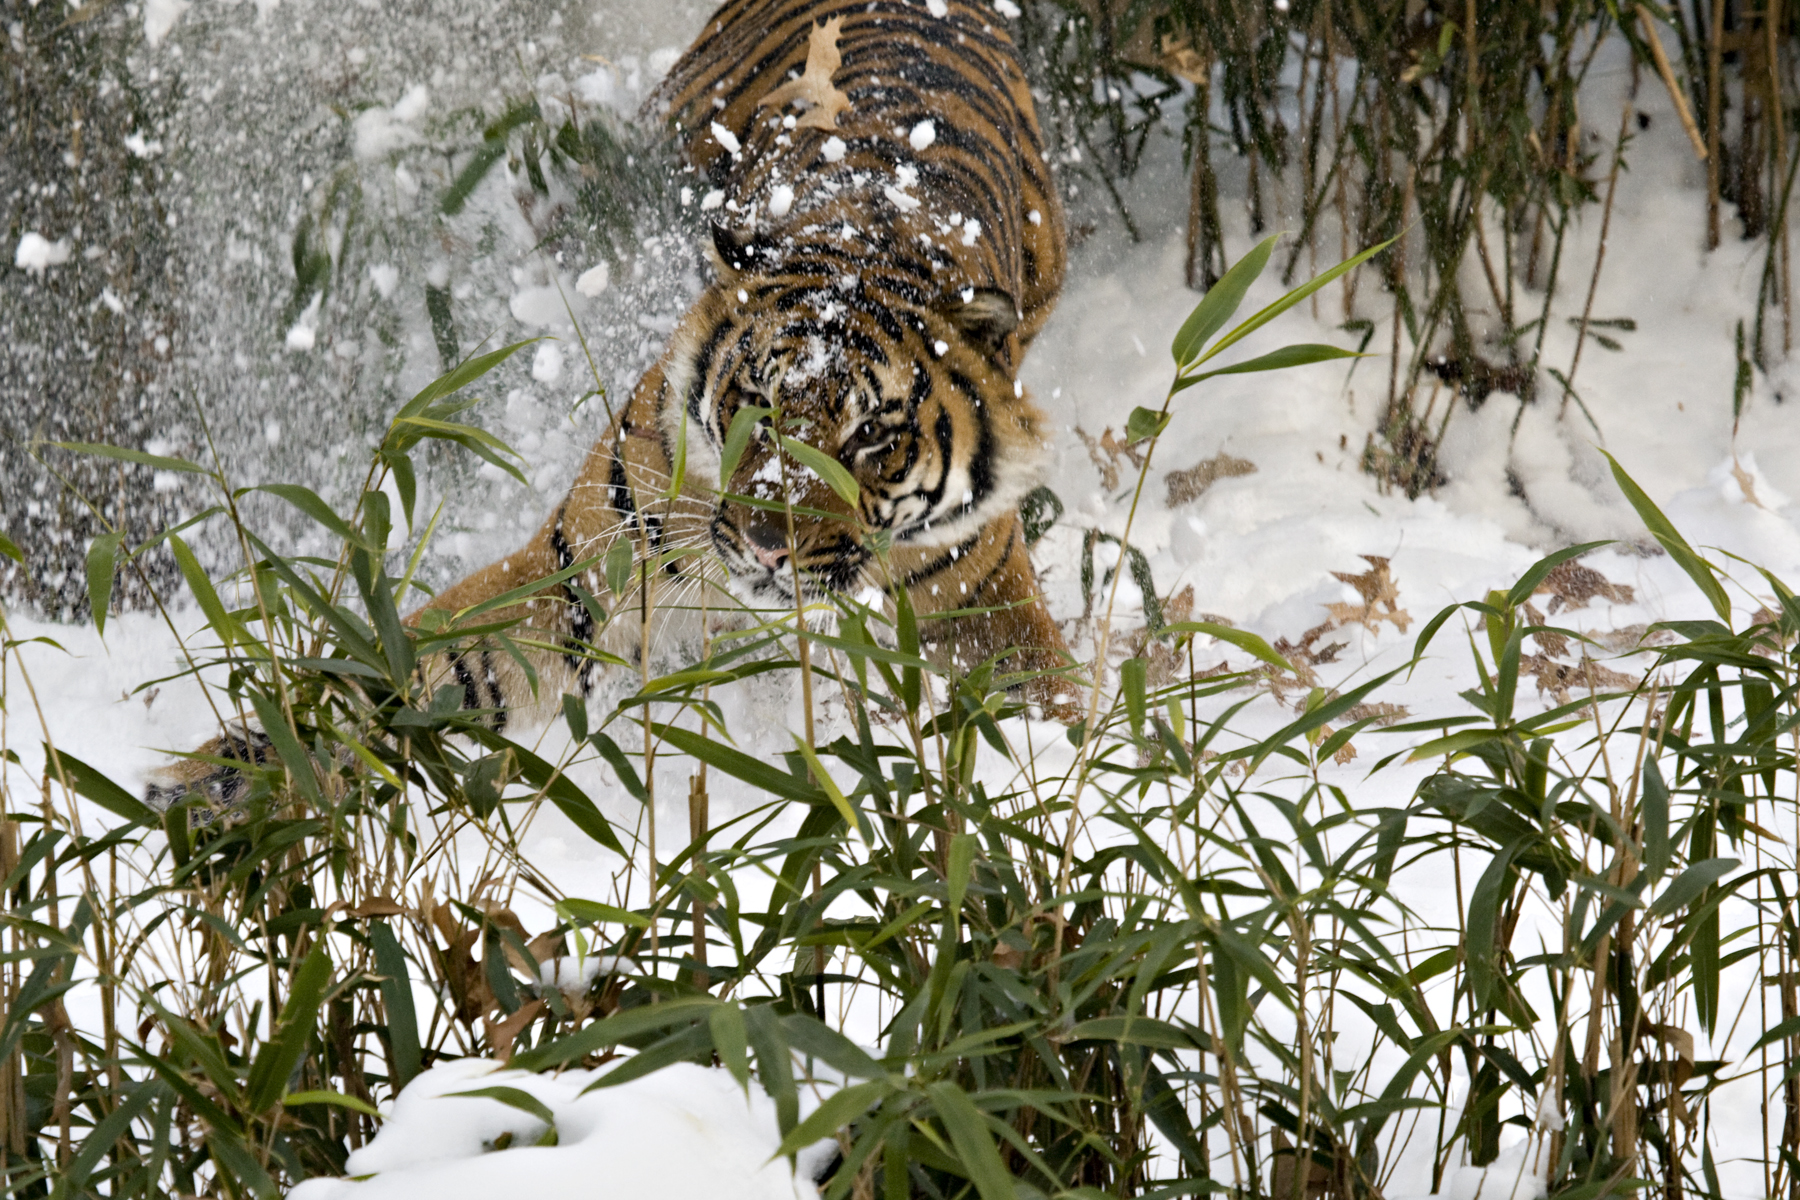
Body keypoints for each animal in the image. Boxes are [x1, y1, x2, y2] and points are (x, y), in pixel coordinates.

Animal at [146, 0, 1073, 811]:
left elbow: (1050, 724)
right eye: (756, 404)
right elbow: (423, 665)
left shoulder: (980, 615)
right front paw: (227, 781)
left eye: (873, 433)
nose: (768, 550)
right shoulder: (582, 574)